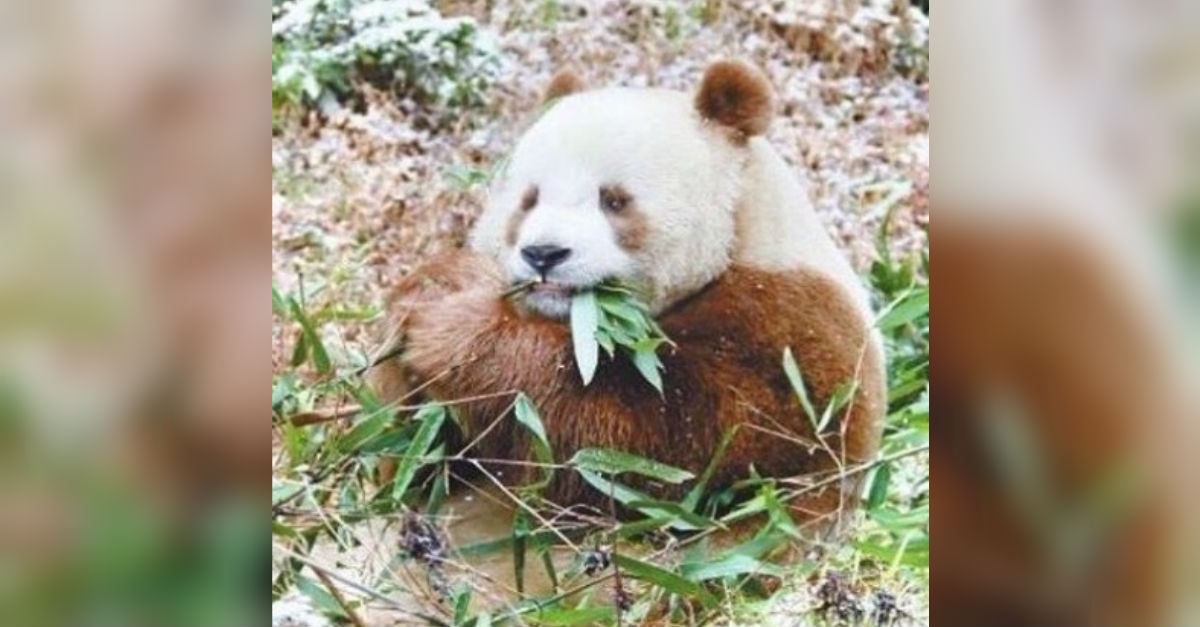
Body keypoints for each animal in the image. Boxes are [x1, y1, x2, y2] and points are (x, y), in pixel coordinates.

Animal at [371, 61, 884, 527]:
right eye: (529, 200)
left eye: (614, 200)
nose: (544, 254)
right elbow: (408, 459)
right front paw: (437, 287)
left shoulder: (791, 334)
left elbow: (656, 447)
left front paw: (457, 330)